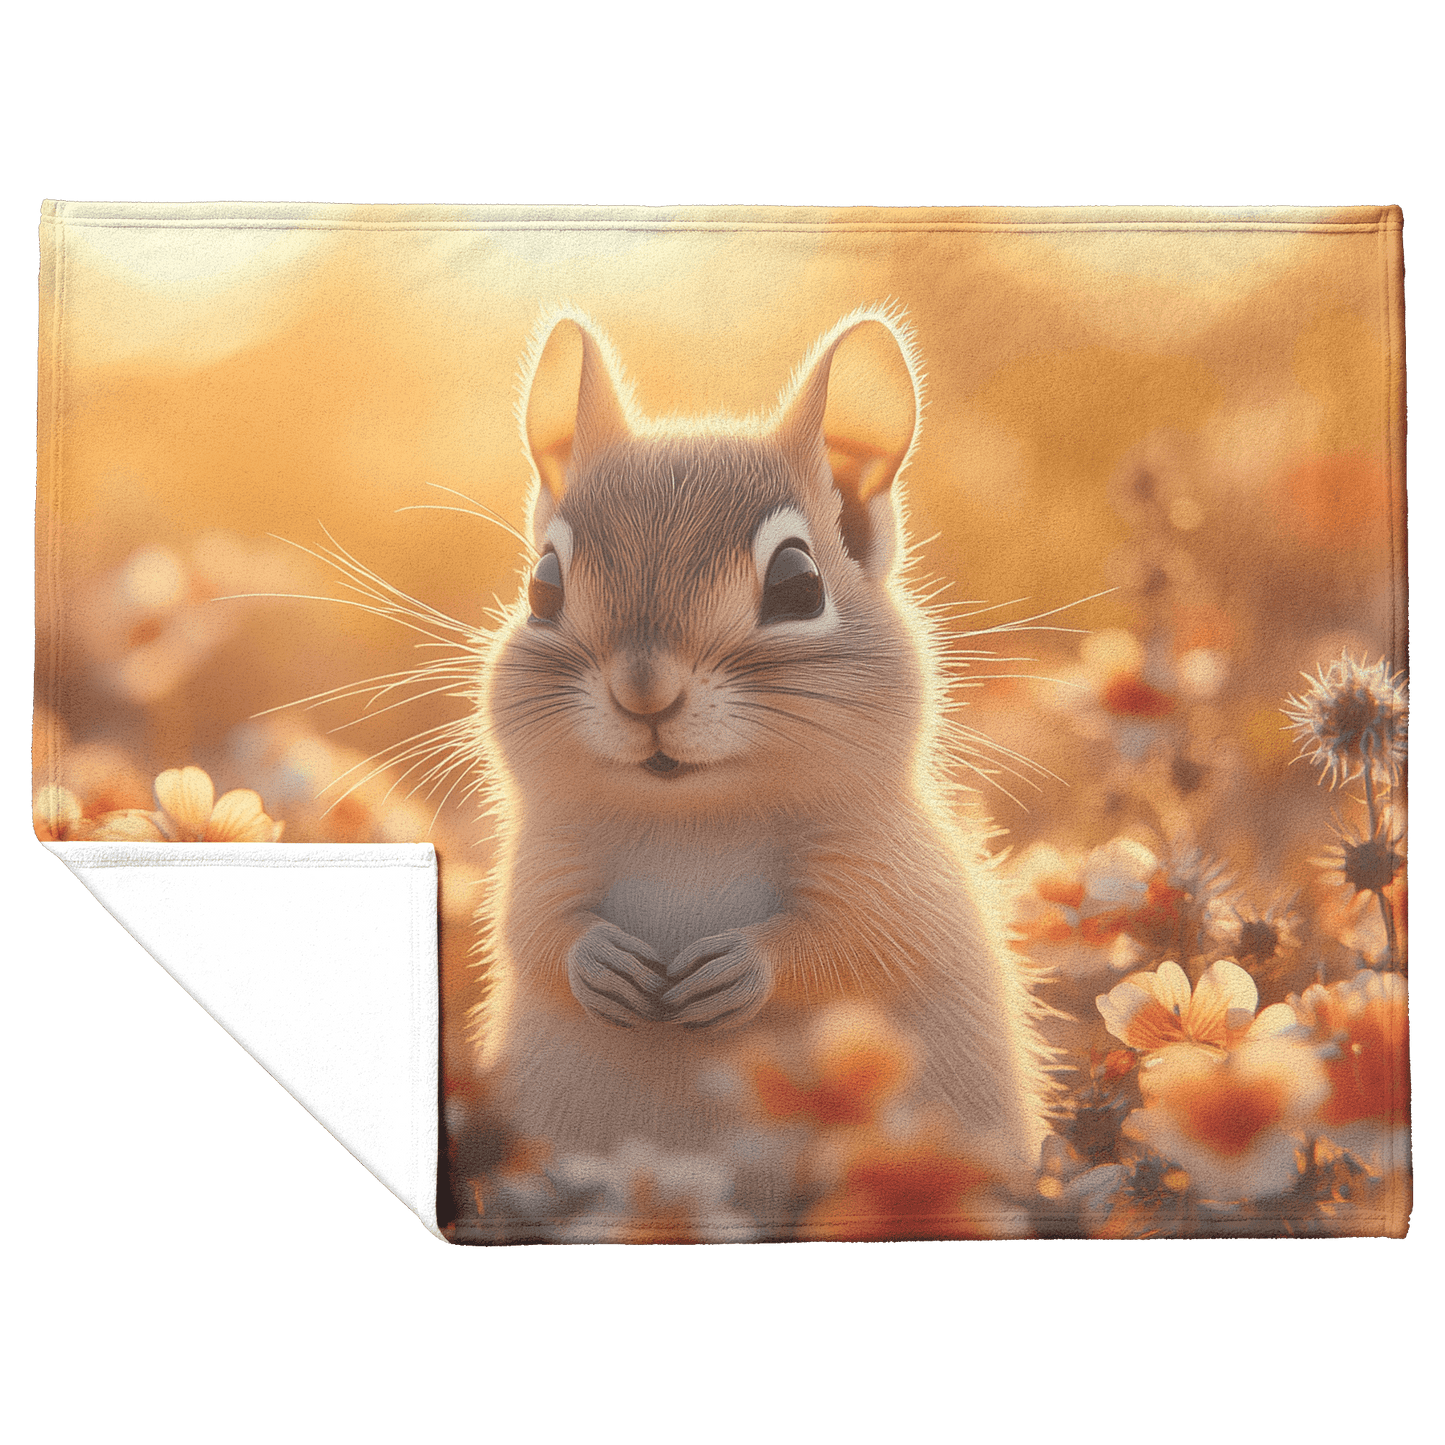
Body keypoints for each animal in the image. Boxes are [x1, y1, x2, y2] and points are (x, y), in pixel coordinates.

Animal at [469, 306, 1051, 1190]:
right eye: (543, 585)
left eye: (796, 585)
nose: (644, 691)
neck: (692, 821)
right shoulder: (544, 857)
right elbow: (533, 927)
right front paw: (599, 963)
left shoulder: (882, 874)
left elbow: (845, 942)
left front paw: (739, 967)